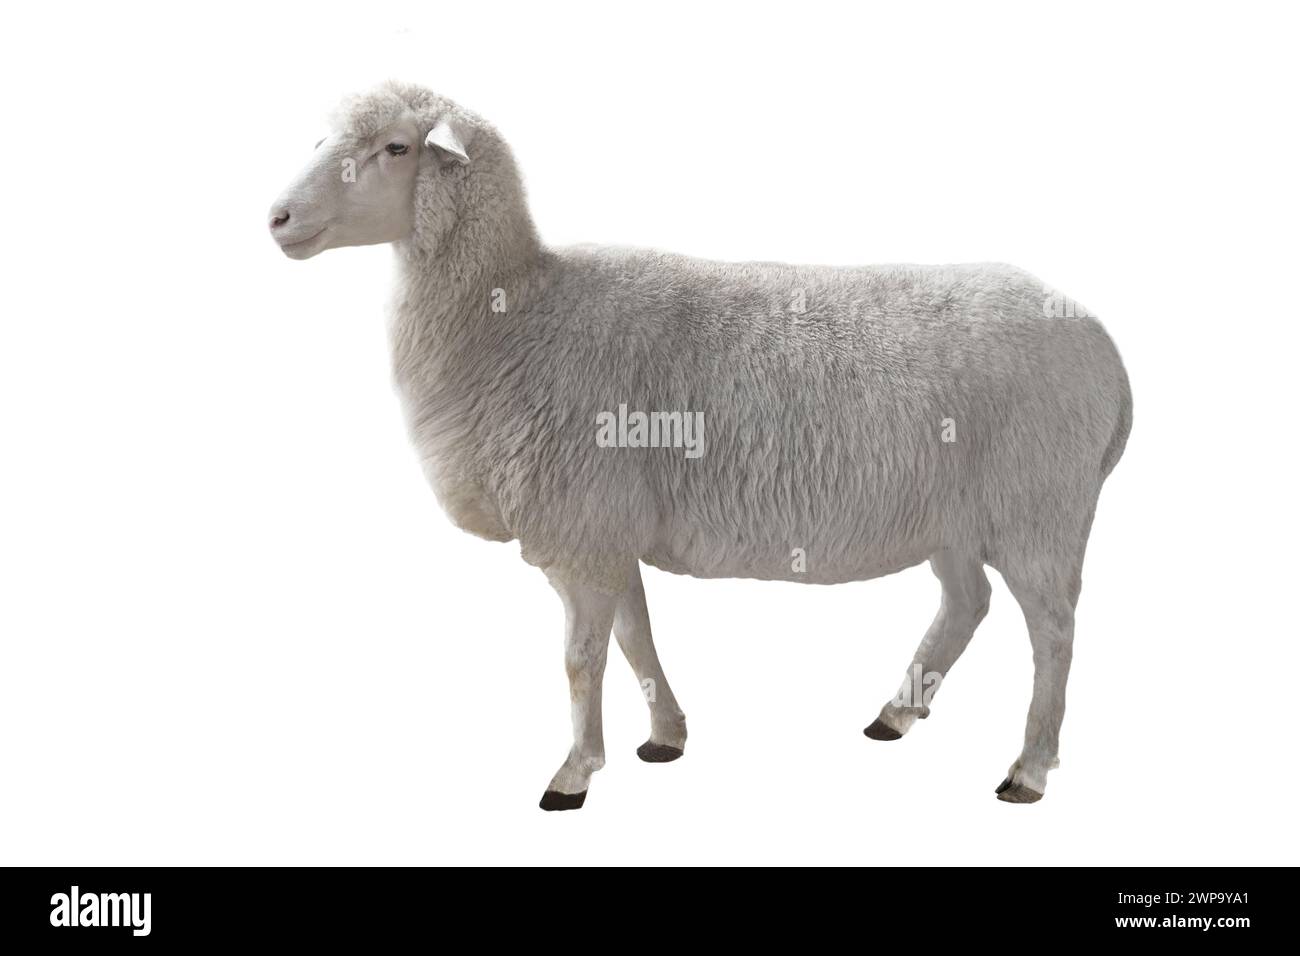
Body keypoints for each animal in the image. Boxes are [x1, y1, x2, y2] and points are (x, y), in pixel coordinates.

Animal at [268, 81, 1132, 810]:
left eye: (395, 148)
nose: (275, 217)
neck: (516, 309)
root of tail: (1101, 343)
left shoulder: (580, 528)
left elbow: (581, 658)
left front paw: (573, 774)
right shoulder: (610, 529)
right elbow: (634, 637)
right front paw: (664, 737)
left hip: (1040, 508)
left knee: (1053, 631)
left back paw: (1027, 770)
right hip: (955, 515)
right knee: (966, 603)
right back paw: (894, 714)